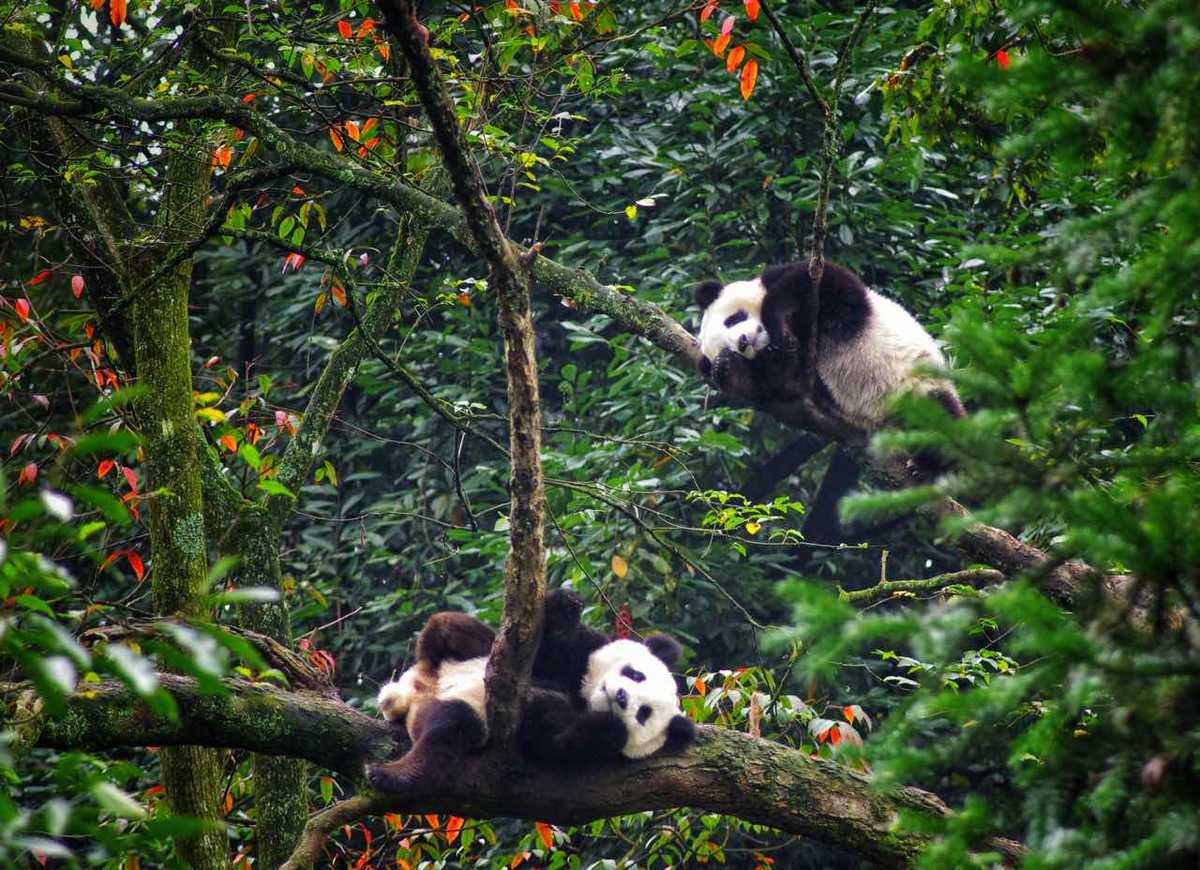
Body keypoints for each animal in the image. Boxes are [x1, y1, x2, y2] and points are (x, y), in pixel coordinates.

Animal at [367, 589, 695, 792]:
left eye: (643, 713)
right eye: (636, 674)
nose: (621, 696)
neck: (585, 697)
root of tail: (419, 691)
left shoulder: (585, 748)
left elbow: (554, 739)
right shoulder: (578, 654)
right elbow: (552, 647)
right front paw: (566, 605)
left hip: (463, 716)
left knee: (449, 729)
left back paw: (391, 775)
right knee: (450, 626)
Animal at [695, 261, 965, 430]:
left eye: (733, 319)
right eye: (726, 347)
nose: (742, 342)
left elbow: (819, 284)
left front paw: (780, 324)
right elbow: (779, 385)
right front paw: (724, 368)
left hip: (922, 386)